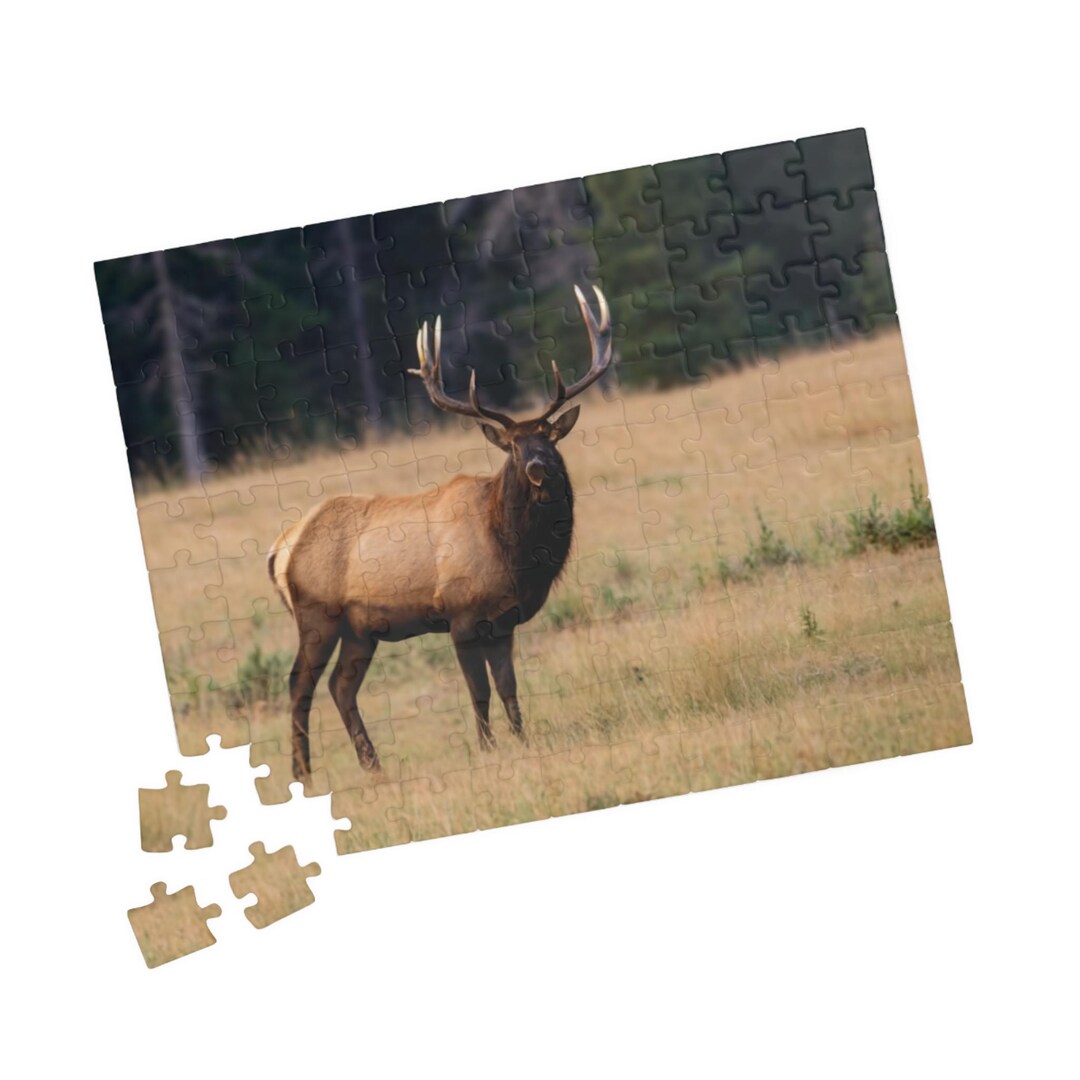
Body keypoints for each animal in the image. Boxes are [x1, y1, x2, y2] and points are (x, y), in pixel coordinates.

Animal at [268, 285, 613, 781]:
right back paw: (303, 773)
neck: (515, 556)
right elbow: (479, 691)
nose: (537, 469)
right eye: (512, 446)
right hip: (317, 613)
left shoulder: (503, 621)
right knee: (299, 684)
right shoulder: (461, 615)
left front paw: (522, 740)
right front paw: (487, 748)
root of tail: (281, 549)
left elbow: (508, 688)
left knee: (340, 686)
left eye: (549, 437)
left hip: (360, 629)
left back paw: (373, 764)